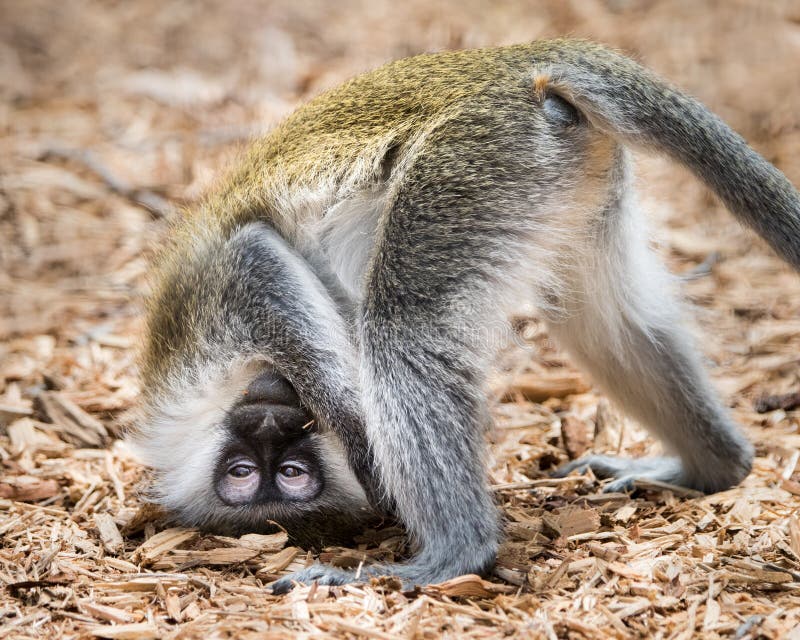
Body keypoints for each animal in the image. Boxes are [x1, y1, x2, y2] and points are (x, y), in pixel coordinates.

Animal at [131, 38, 800, 593]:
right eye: (245, 474)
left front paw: (352, 428)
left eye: (288, 471)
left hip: (466, 158)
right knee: (607, 322)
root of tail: (512, 65)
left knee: (400, 327)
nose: (271, 421)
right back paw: (712, 466)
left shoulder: (213, 295)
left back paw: (452, 557)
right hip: (539, 178)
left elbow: (257, 254)